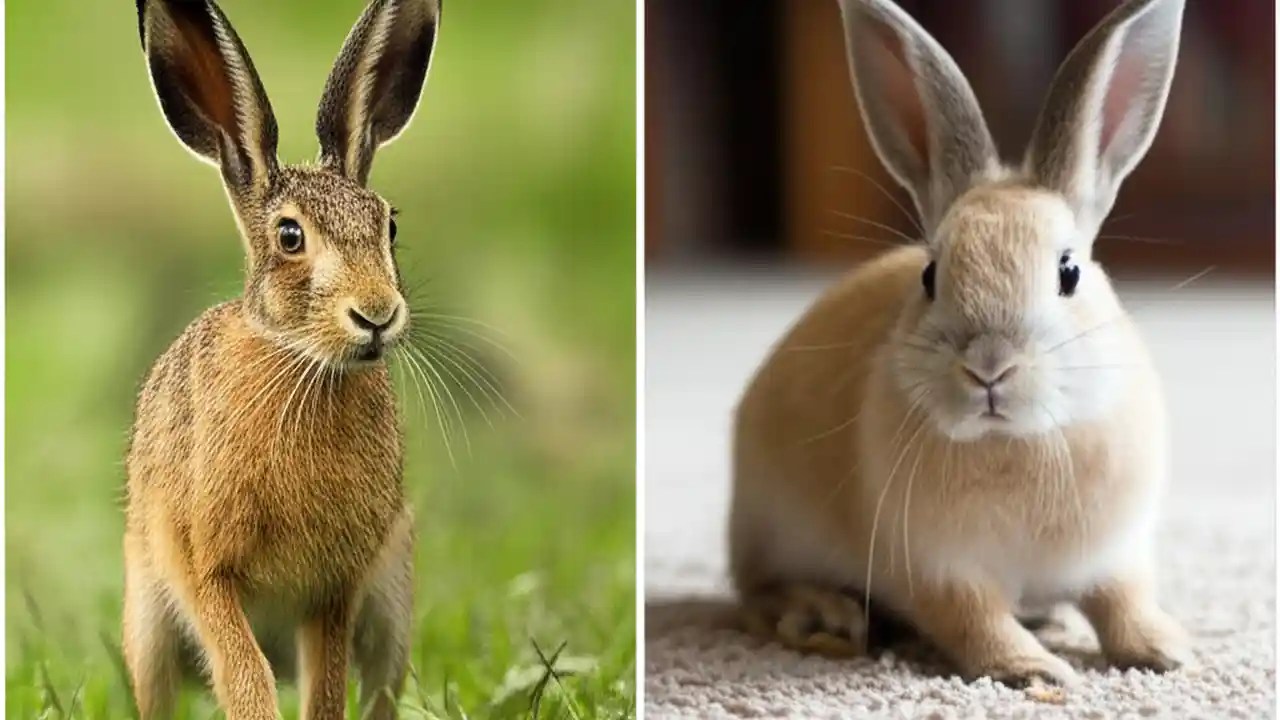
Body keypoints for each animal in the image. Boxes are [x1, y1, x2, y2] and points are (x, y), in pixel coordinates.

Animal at [124, 0, 440, 717]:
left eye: (390, 226)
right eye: (290, 237)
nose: (376, 315)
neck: (301, 363)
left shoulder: (335, 588)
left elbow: (325, 688)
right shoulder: (202, 566)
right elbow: (246, 671)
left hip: (394, 604)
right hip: (147, 621)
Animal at [729, 0, 1189, 687]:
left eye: (1069, 273)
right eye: (930, 276)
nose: (989, 367)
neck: (1016, 442)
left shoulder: (1115, 554)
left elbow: (1124, 603)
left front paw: (1166, 651)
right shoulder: (942, 572)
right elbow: (976, 623)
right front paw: (1035, 671)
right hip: (770, 523)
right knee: (755, 593)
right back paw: (823, 614)